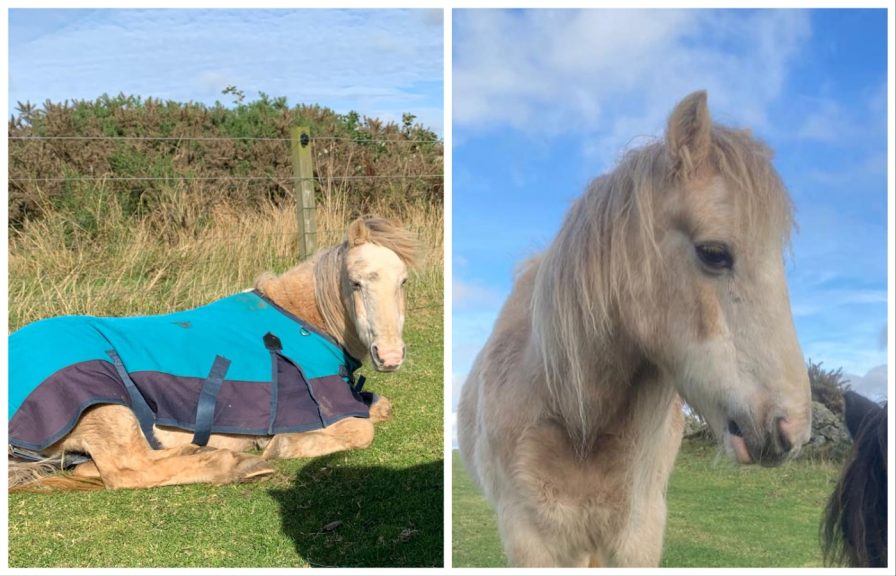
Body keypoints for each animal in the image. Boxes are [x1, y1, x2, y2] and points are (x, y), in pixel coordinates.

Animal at [8, 216, 418, 490]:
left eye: (403, 282)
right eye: (356, 282)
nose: (390, 356)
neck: (300, 319)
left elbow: (380, 406)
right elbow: (361, 431)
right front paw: (280, 445)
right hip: (105, 407)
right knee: (127, 470)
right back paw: (235, 464)